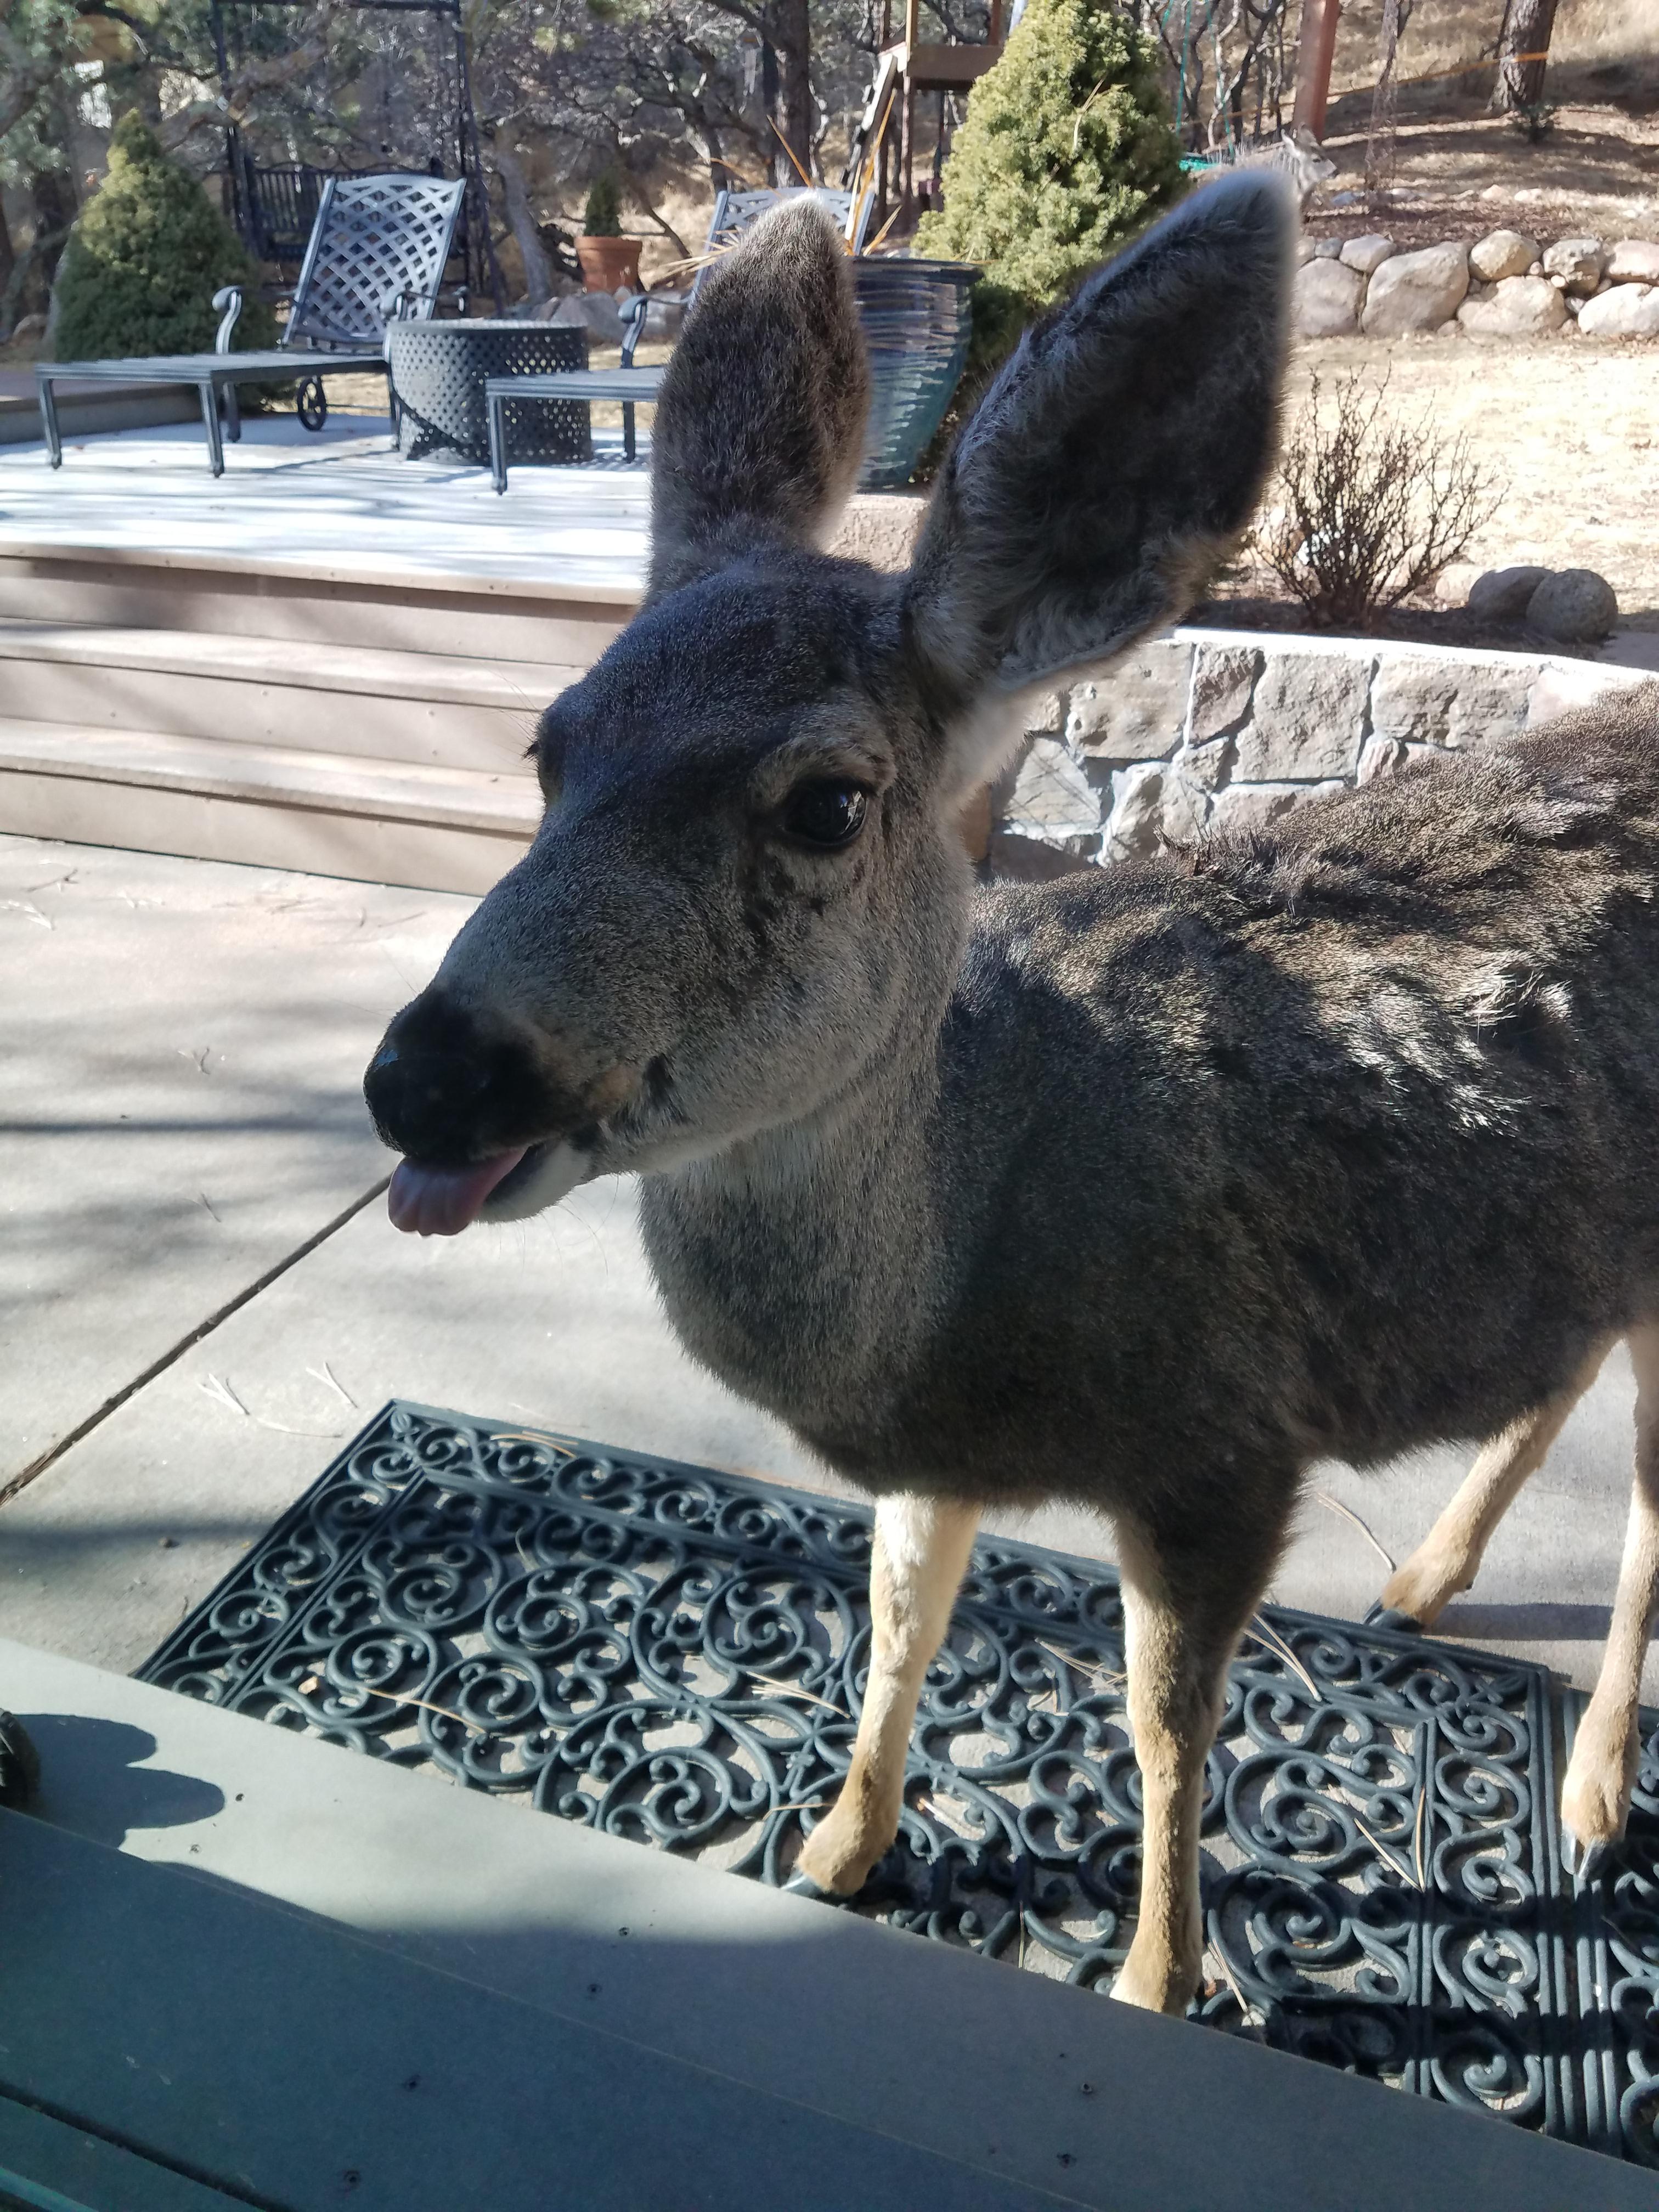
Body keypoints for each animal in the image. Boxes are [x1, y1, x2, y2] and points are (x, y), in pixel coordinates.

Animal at [363, 175, 1659, 2014]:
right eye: (549, 751)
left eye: (827, 804)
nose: (427, 1076)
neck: (968, 1275)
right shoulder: (941, 1455)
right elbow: (900, 1613)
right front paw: (838, 1845)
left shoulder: (1222, 1441)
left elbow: (1166, 1731)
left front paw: (1155, 1979)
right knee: (1571, 1365)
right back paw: (1422, 1581)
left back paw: (1598, 1784)